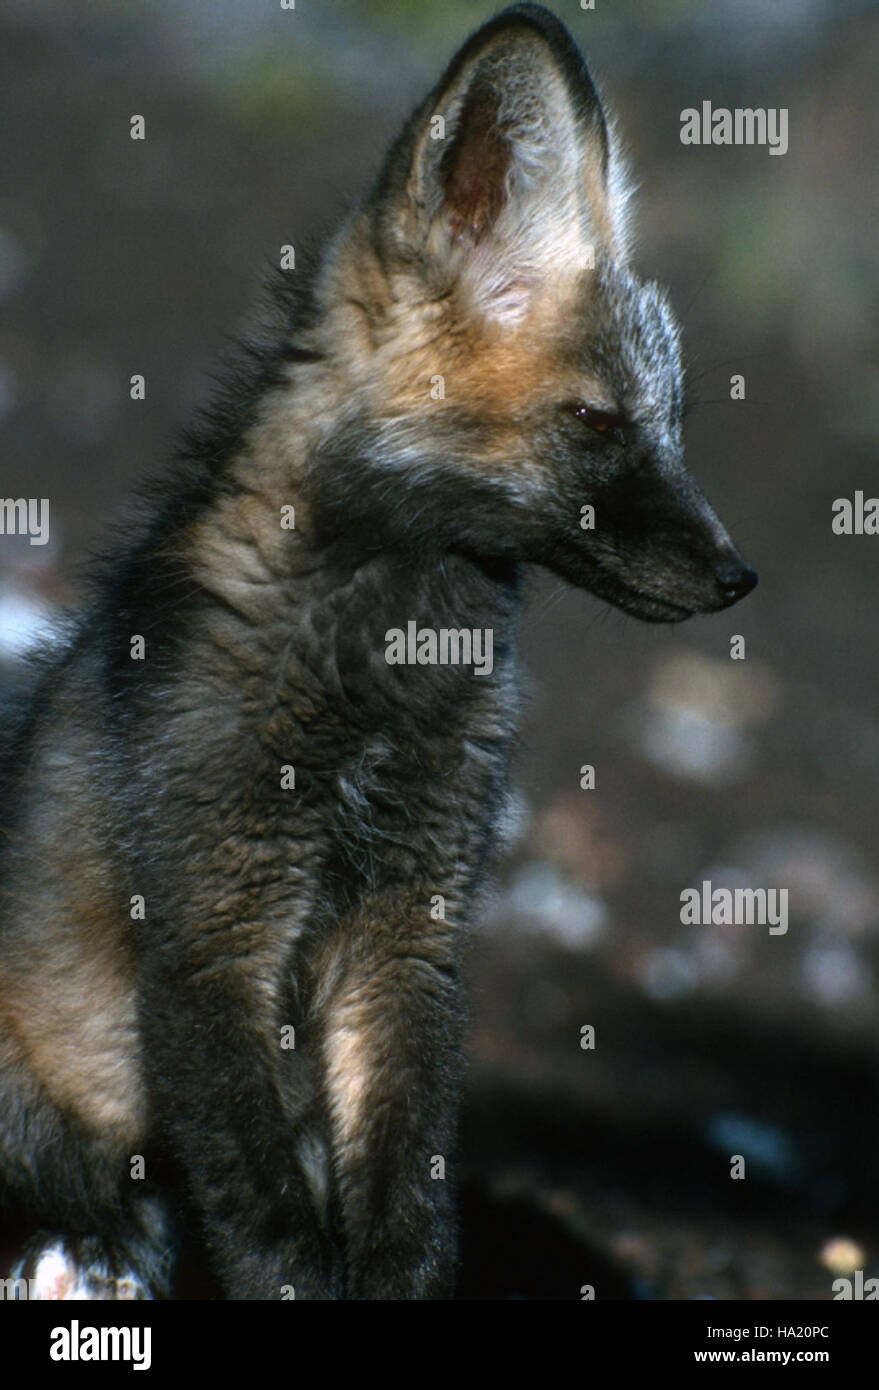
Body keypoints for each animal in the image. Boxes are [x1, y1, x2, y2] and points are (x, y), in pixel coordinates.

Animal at [0, 4, 756, 1300]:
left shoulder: (412, 936)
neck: (381, 687)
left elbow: (407, 1208)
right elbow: (272, 1234)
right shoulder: (212, 934)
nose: (735, 576)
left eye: (671, 428)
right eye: (596, 423)